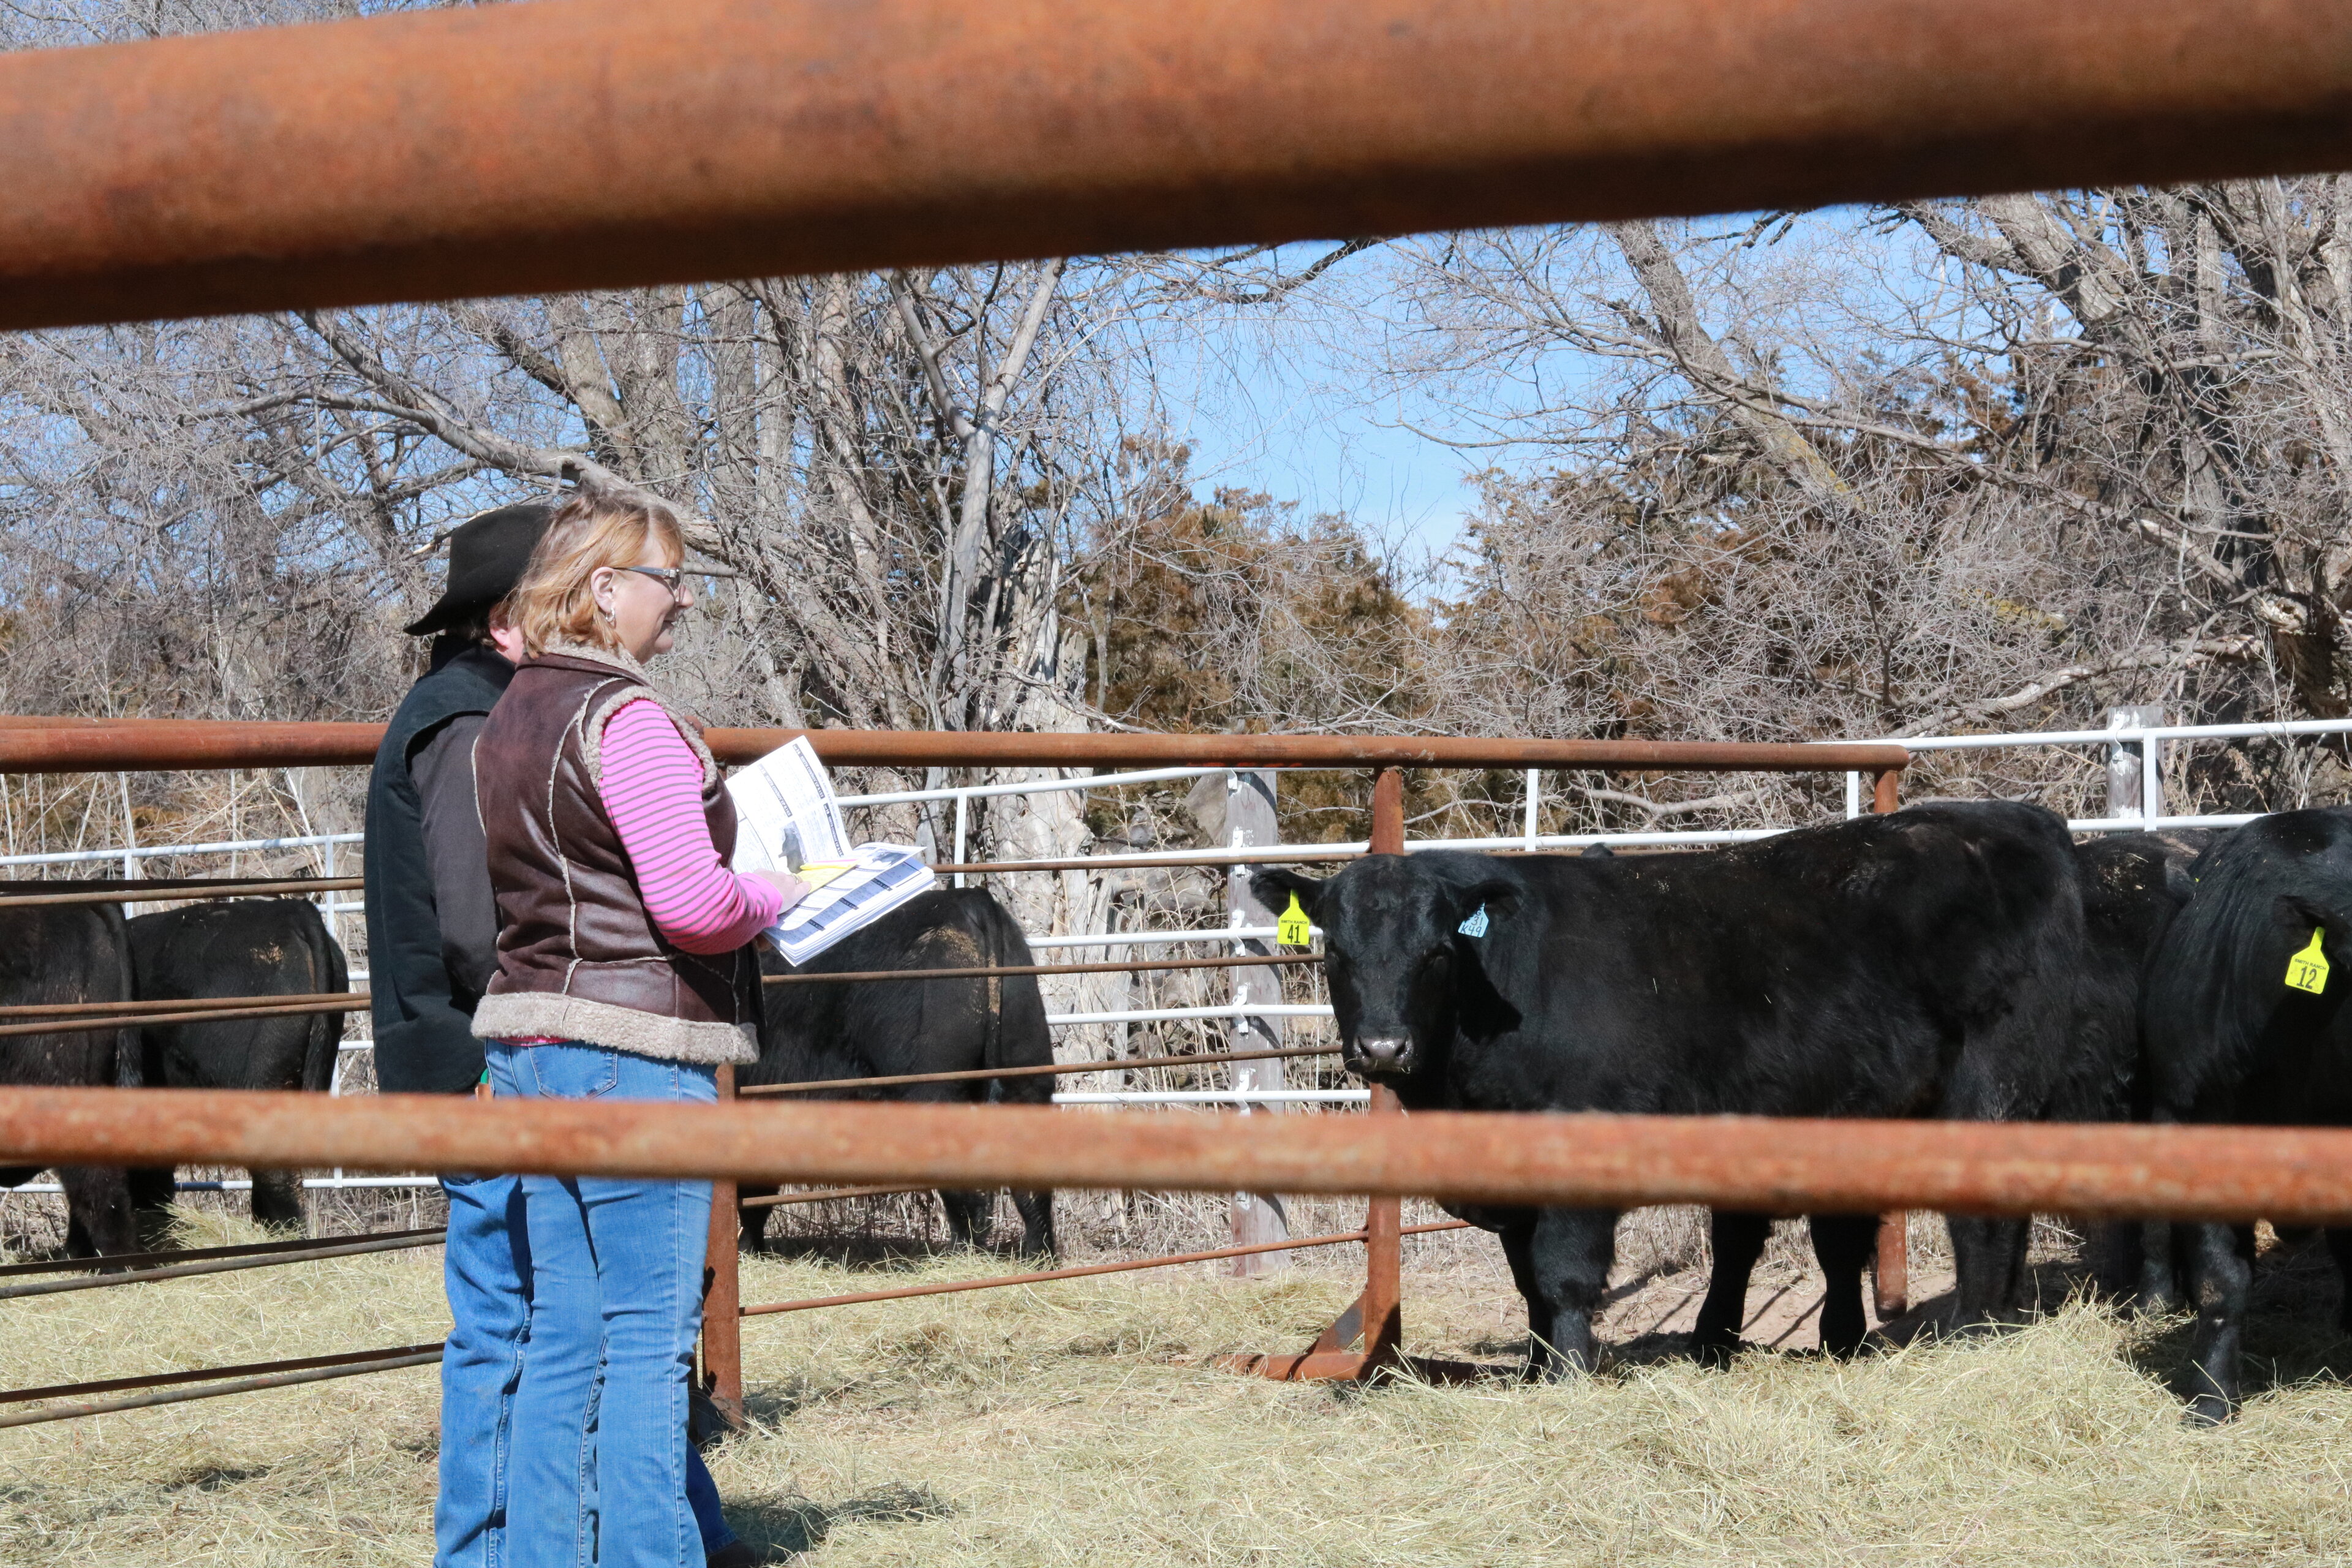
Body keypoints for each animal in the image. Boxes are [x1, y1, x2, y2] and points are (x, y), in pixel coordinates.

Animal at [741, 886, 1056, 1257]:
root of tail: (968, 899)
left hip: (936, 1091)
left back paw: (958, 1252)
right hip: (1028, 1077)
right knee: (1032, 1188)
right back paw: (1038, 1255)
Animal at [1255, 800, 2088, 1379]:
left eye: (1435, 952)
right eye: (1335, 951)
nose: (1382, 1047)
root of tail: (2019, 818)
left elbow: (1563, 1274)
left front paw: (1570, 1373)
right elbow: (1528, 1281)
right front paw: (1535, 1366)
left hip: (1991, 1088)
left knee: (1981, 1219)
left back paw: (1972, 1333)